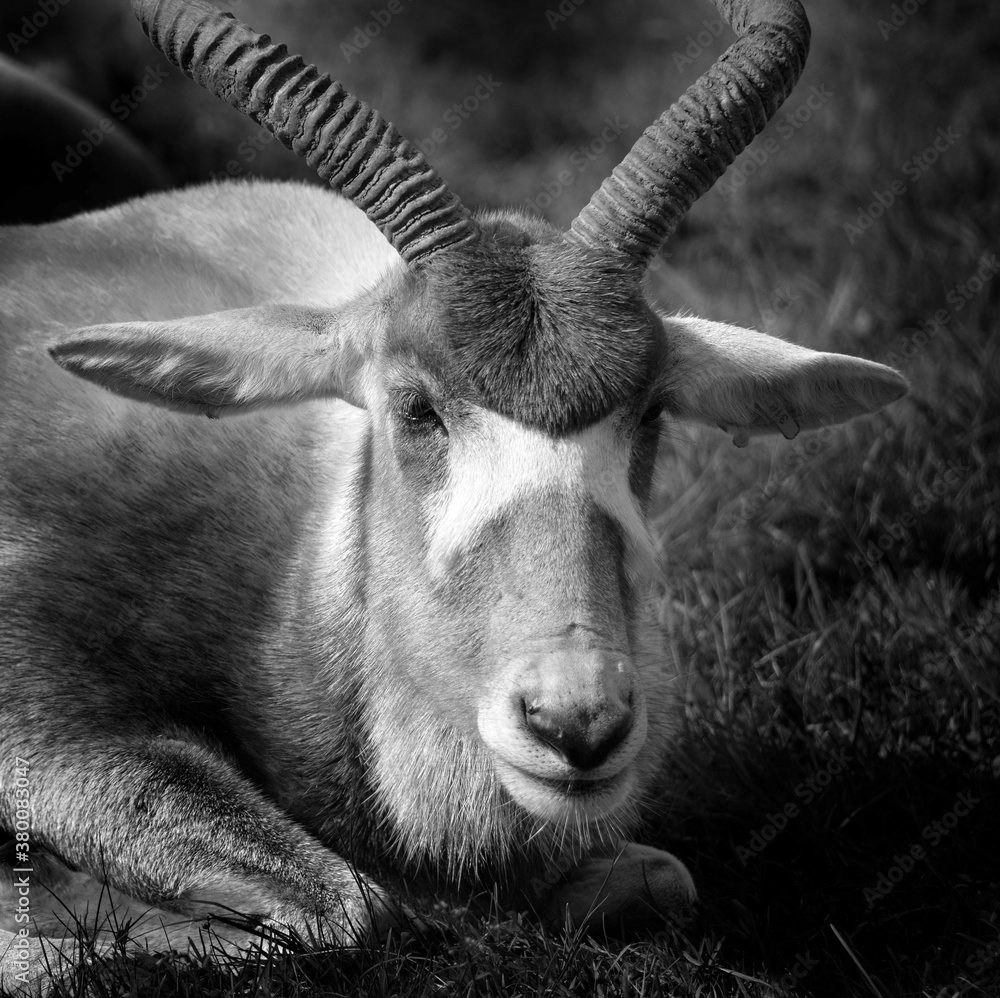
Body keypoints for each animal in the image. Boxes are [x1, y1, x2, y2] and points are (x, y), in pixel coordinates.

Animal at [0, 0, 907, 989]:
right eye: (416, 406)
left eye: (652, 410)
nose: (577, 722)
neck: (290, 565)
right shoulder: (44, 720)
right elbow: (346, 908)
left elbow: (664, 879)